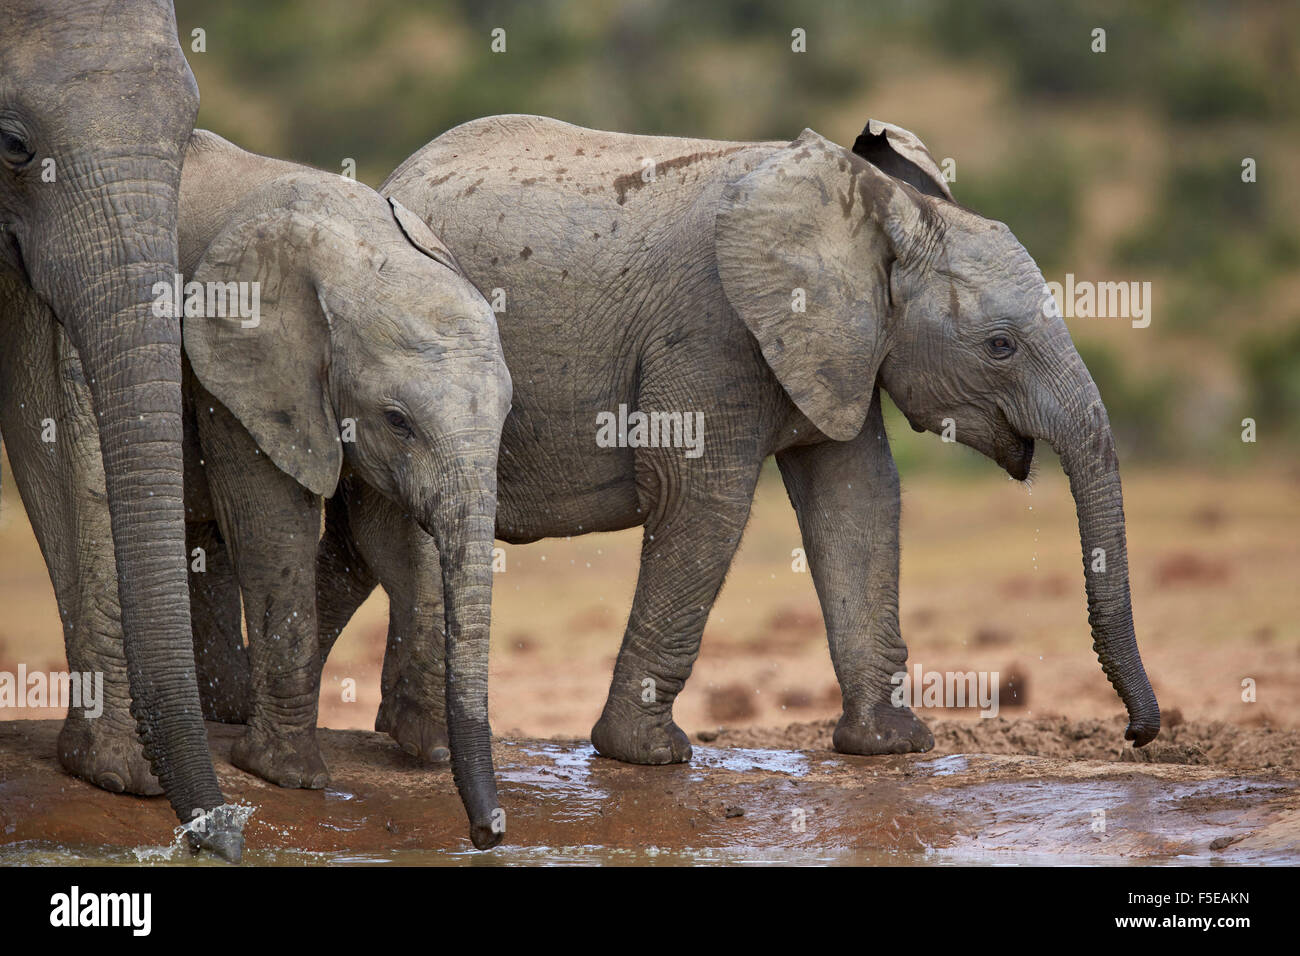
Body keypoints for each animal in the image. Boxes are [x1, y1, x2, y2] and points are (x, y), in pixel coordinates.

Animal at [310, 113, 1158, 767]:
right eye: (1001, 347)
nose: (1138, 735)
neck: (866, 212)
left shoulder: (837, 347)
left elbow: (858, 502)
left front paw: (892, 747)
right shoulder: (712, 329)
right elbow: (702, 503)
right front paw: (647, 756)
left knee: (353, 555)